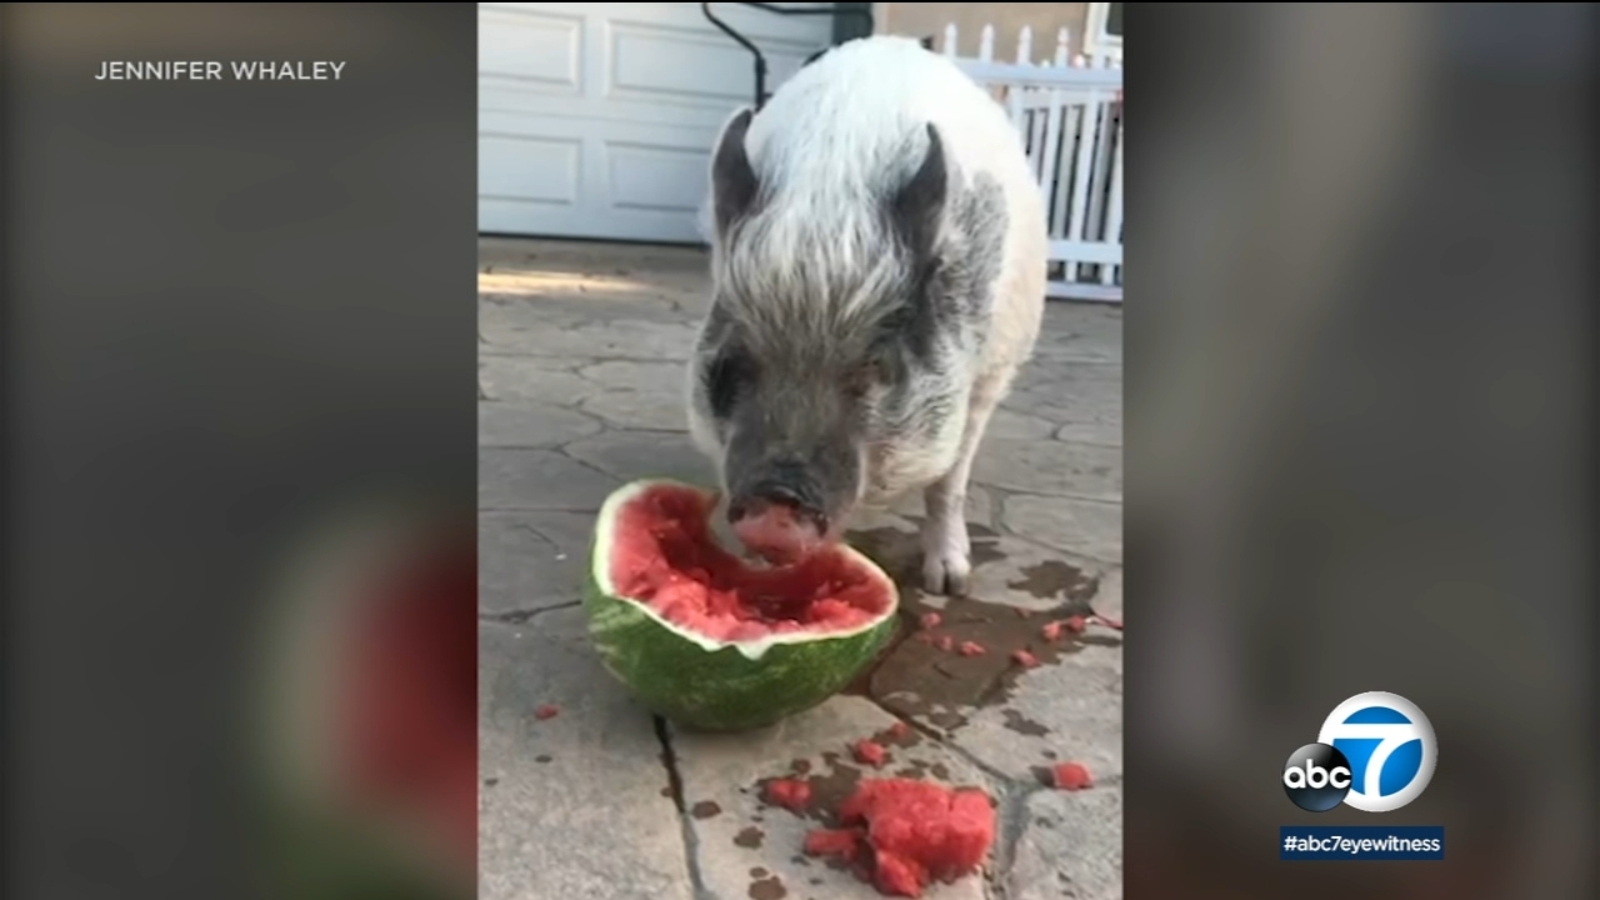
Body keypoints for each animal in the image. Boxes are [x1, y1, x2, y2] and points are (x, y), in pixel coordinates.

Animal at [685, 36, 1047, 596]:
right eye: (731, 363)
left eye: (876, 365)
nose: (774, 509)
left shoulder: (986, 378)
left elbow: (948, 481)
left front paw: (948, 584)